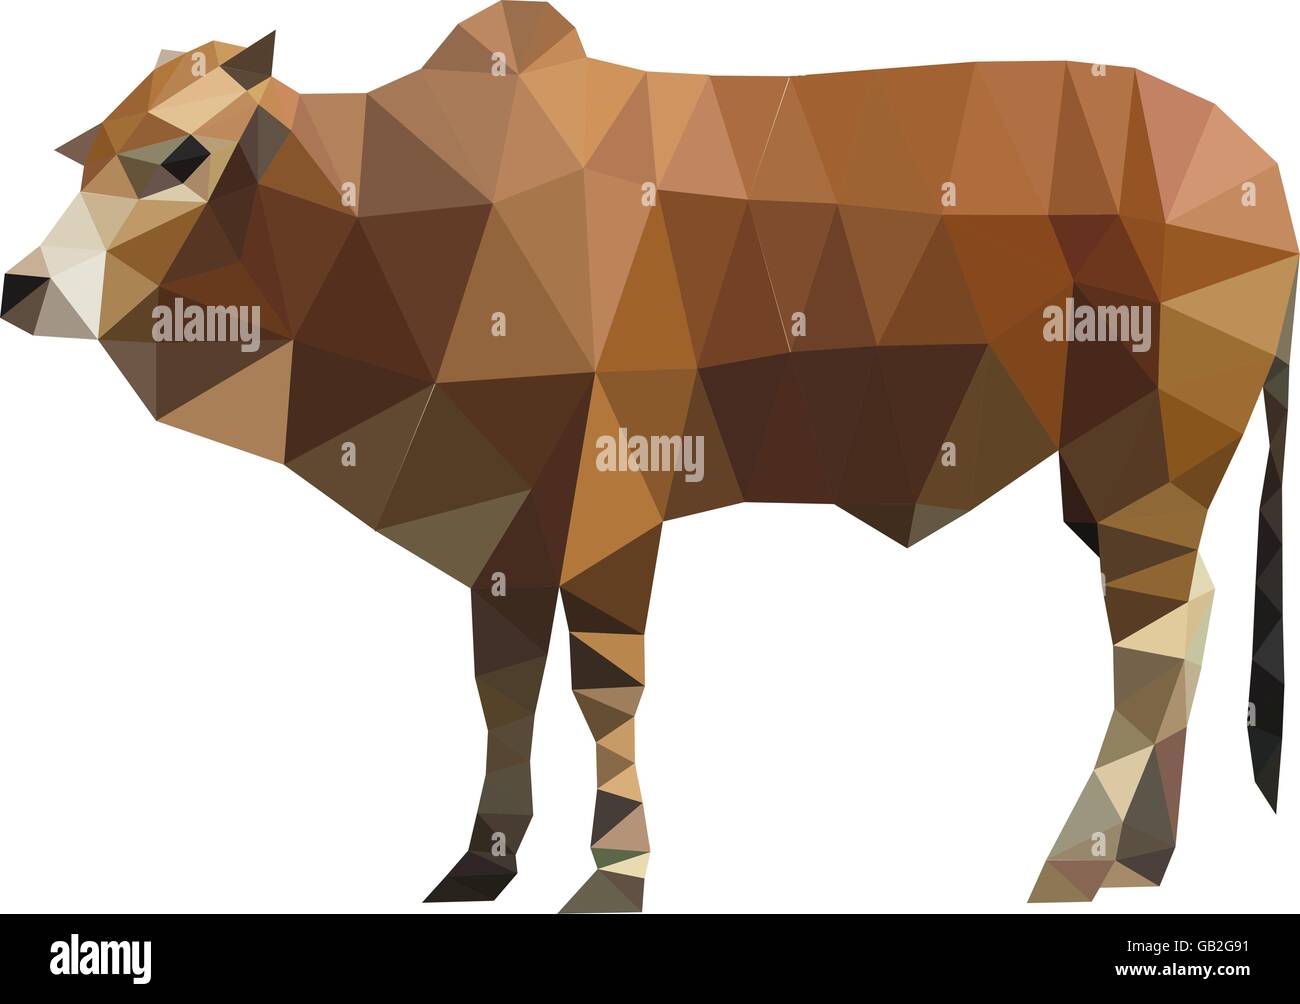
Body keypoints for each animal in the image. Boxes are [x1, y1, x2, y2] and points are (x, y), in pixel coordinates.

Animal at [2, 0, 1292, 911]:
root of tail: (1258, 170)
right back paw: (1144, 852)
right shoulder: (501, 527)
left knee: (1156, 631)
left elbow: (600, 685)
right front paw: (482, 861)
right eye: (84, 154)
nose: (20, 285)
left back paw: (1081, 862)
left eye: (178, 157)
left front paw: (613, 874)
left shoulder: (609, 504)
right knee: (1176, 618)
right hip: (1112, 473)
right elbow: (500, 686)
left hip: (1151, 451)